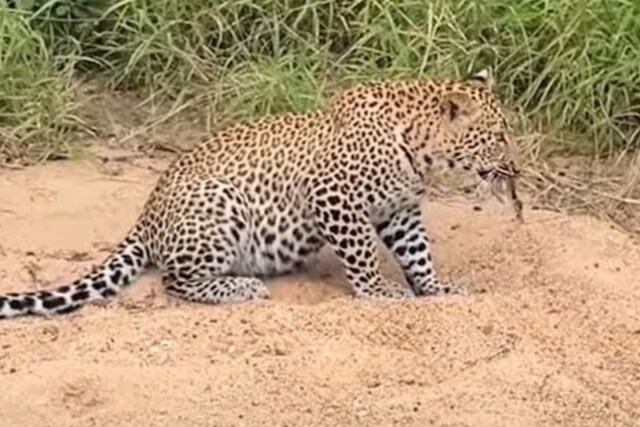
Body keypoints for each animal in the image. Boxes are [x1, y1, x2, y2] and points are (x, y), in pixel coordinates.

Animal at [0, 68, 518, 319]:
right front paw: (379, 291)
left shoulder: (402, 210)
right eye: (497, 136)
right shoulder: (332, 195)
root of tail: (146, 216)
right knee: (174, 279)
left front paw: (435, 287)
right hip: (218, 205)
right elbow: (362, 256)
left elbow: (418, 254)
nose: (514, 167)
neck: (419, 152)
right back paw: (240, 287)